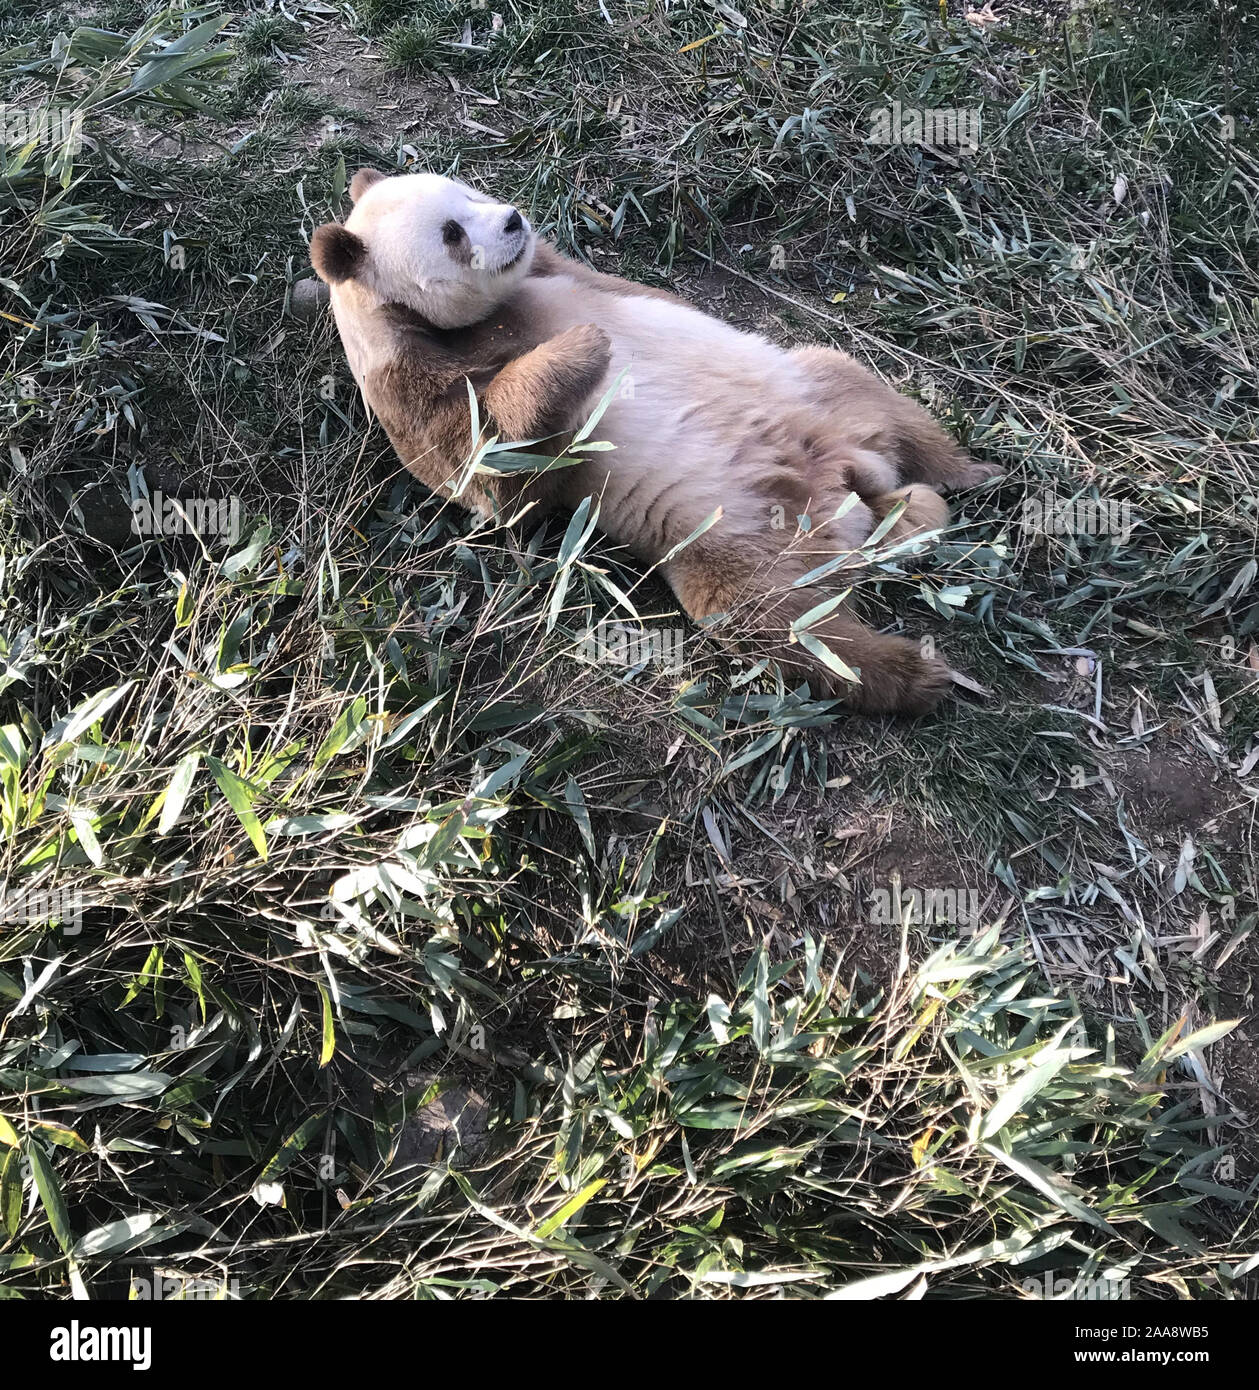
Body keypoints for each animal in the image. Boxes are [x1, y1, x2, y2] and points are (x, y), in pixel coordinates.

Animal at [310, 168, 995, 714]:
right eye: (452, 232)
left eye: (469, 191)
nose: (513, 219)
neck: (461, 324)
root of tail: (846, 495)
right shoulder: (408, 378)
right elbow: (495, 473)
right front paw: (586, 349)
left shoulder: (562, 272)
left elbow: (637, 291)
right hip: (731, 534)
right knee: (781, 621)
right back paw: (914, 672)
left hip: (814, 393)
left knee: (876, 401)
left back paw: (971, 474)